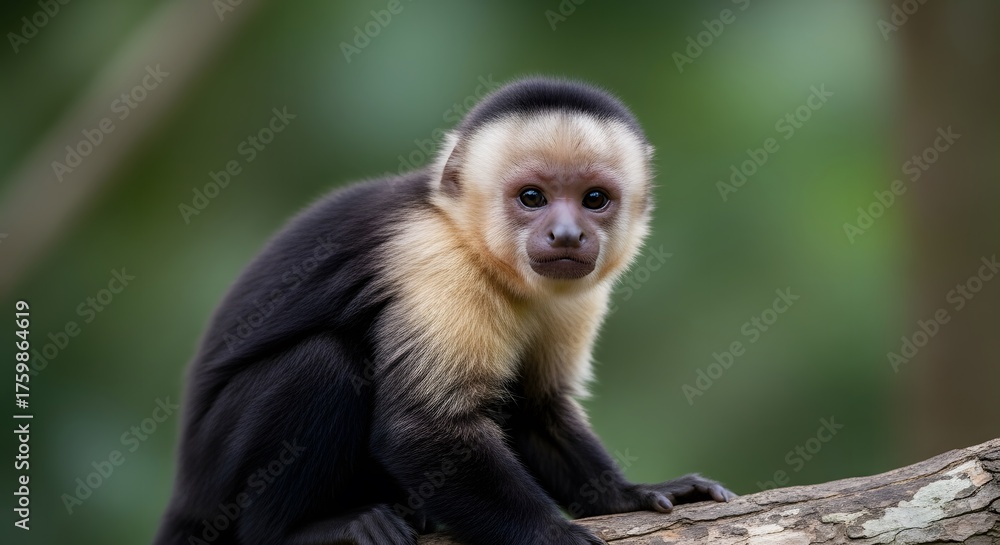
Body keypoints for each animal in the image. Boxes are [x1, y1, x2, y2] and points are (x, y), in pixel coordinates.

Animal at [153, 77, 735, 545]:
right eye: (532, 197)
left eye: (595, 199)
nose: (568, 235)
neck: (476, 245)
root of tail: (184, 497)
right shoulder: (433, 260)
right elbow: (425, 429)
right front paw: (553, 535)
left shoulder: (578, 293)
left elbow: (537, 406)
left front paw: (628, 493)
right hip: (217, 482)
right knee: (320, 362)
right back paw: (298, 530)